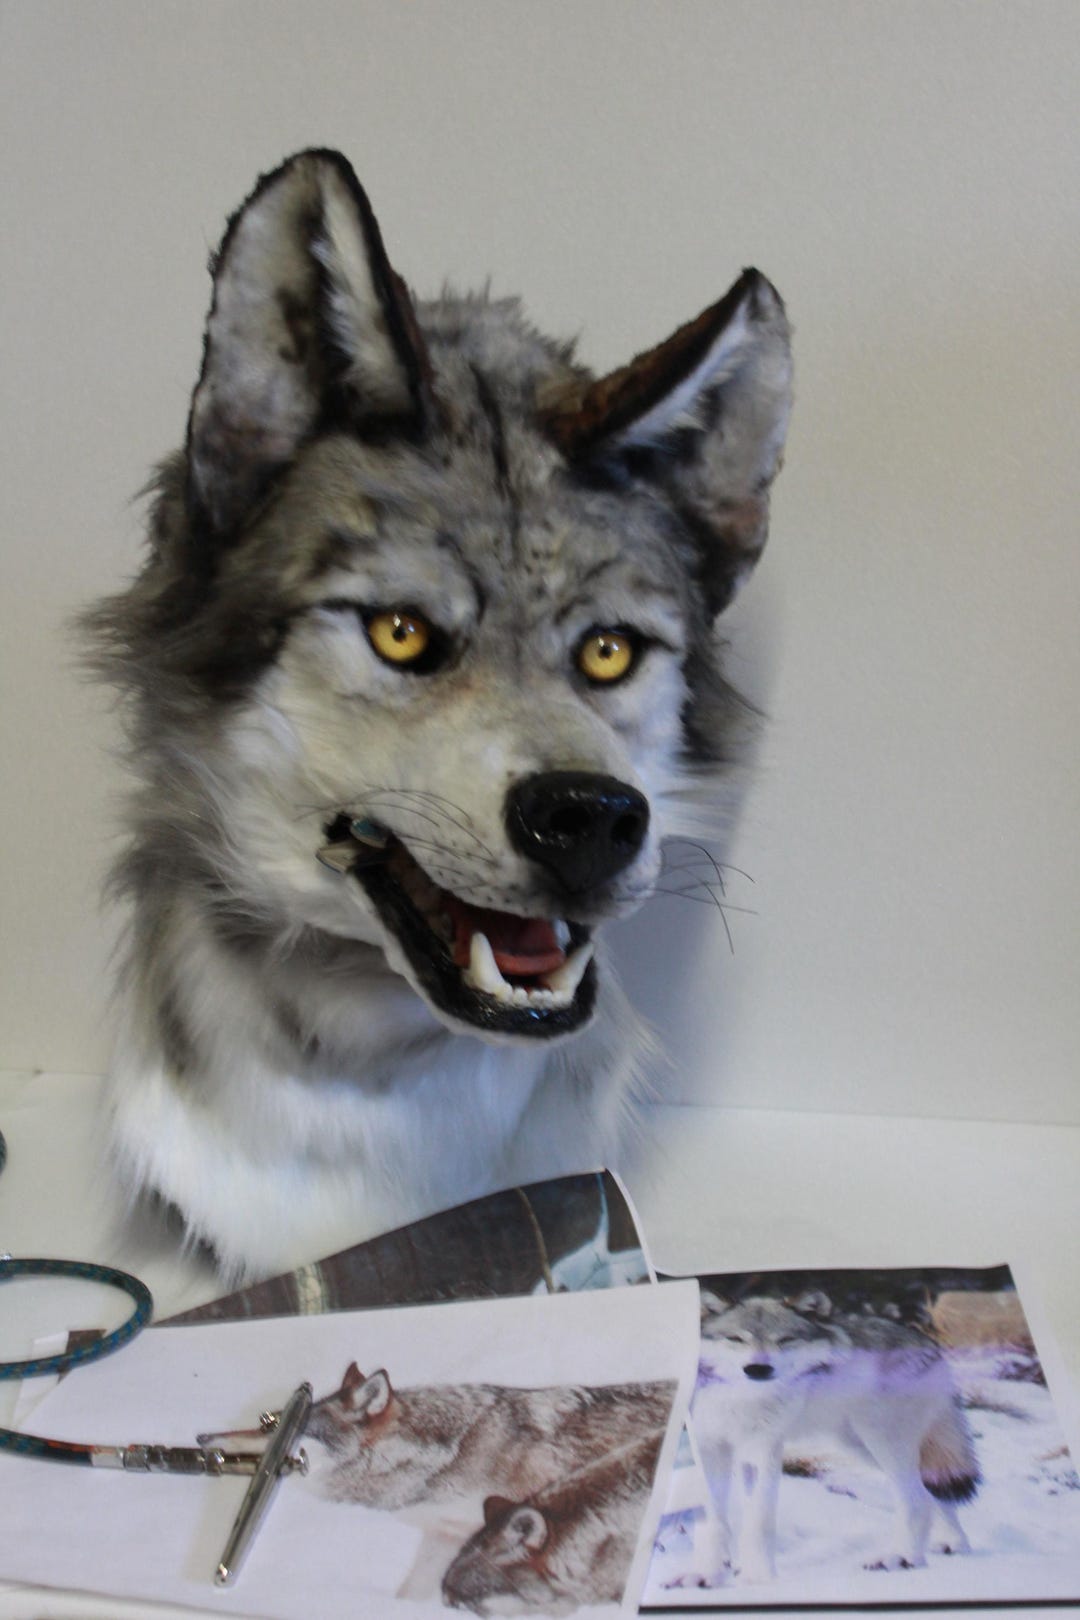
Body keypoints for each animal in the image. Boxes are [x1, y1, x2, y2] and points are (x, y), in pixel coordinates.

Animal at [686, 1290, 980, 1584]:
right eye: (735, 1339)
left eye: (785, 1340)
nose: (757, 1368)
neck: (739, 1401)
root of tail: (928, 1344)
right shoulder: (712, 1448)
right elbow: (715, 1522)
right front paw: (708, 1573)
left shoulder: (766, 1448)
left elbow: (759, 1521)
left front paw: (758, 1577)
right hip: (859, 1446)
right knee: (933, 1493)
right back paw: (953, 1542)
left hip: (882, 1440)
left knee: (917, 1500)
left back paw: (902, 1558)